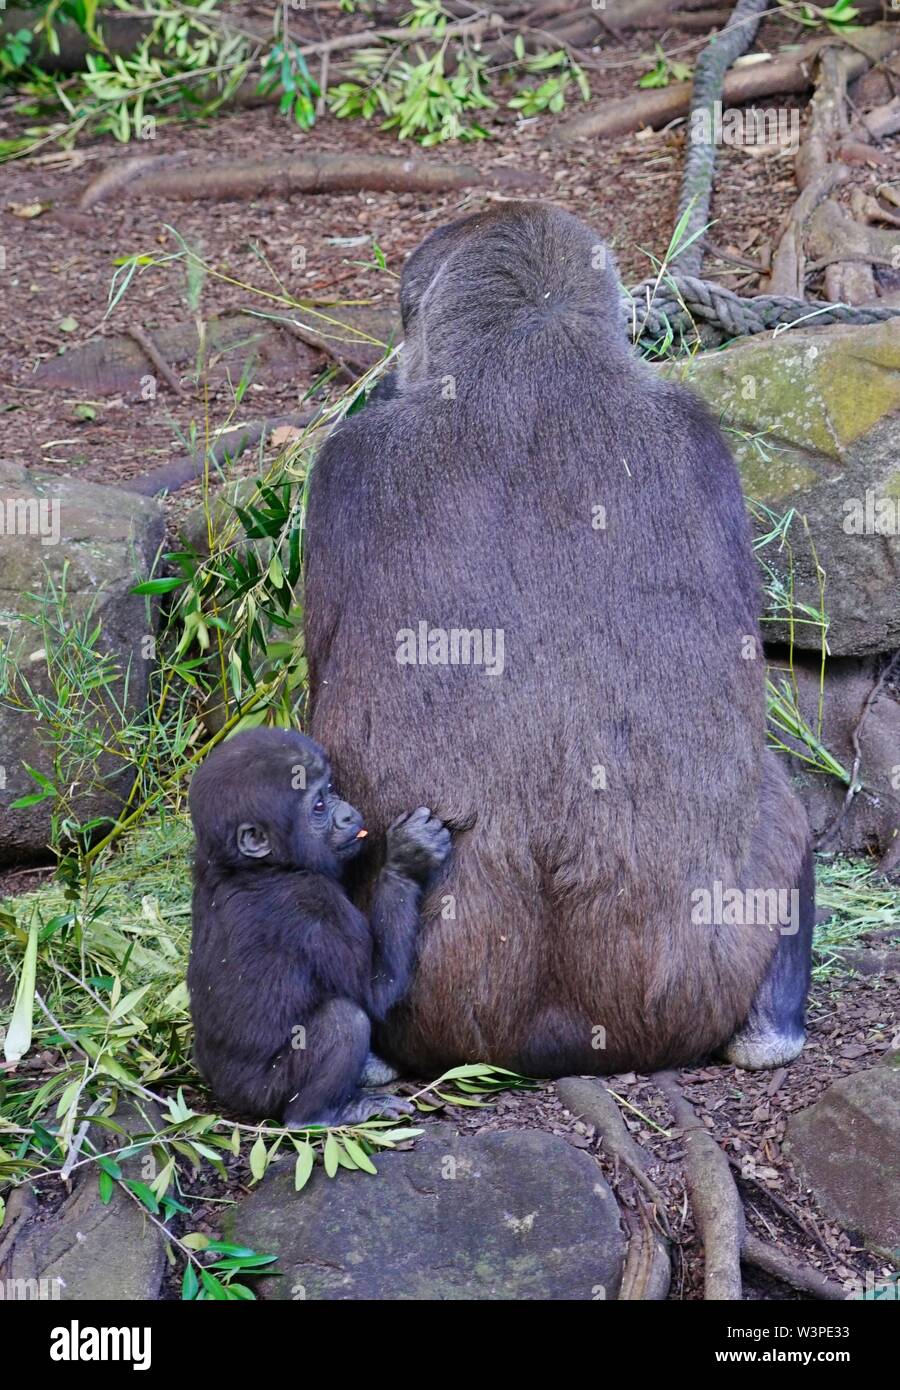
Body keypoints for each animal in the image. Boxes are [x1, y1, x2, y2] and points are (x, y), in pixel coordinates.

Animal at [187, 727, 451, 1126]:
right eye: (319, 806)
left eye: (330, 788)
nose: (346, 814)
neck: (256, 866)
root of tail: (223, 1095)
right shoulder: (310, 902)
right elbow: (374, 989)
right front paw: (408, 857)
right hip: (262, 1094)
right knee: (344, 1021)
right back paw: (322, 1114)